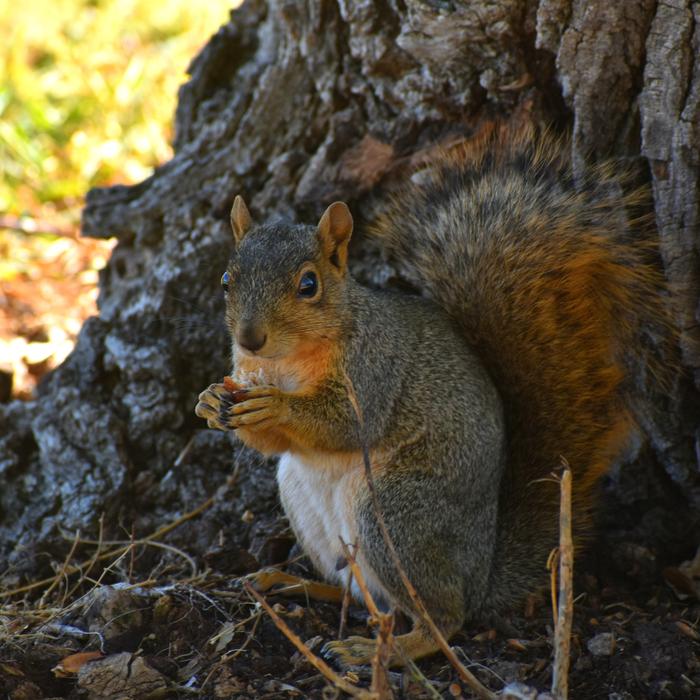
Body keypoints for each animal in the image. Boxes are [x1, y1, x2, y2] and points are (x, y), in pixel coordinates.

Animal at [195, 124, 669, 666]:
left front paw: (275, 405)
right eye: (226, 280)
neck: (287, 362)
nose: (250, 338)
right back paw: (293, 583)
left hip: (397, 517)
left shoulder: (374, 368)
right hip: (305, 504)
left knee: (442, 619)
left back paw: (381, 649)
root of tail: (481, 576)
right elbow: (269, 440)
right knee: (362, 592)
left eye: (309, 285)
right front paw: (209, 401)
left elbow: (346, 425)